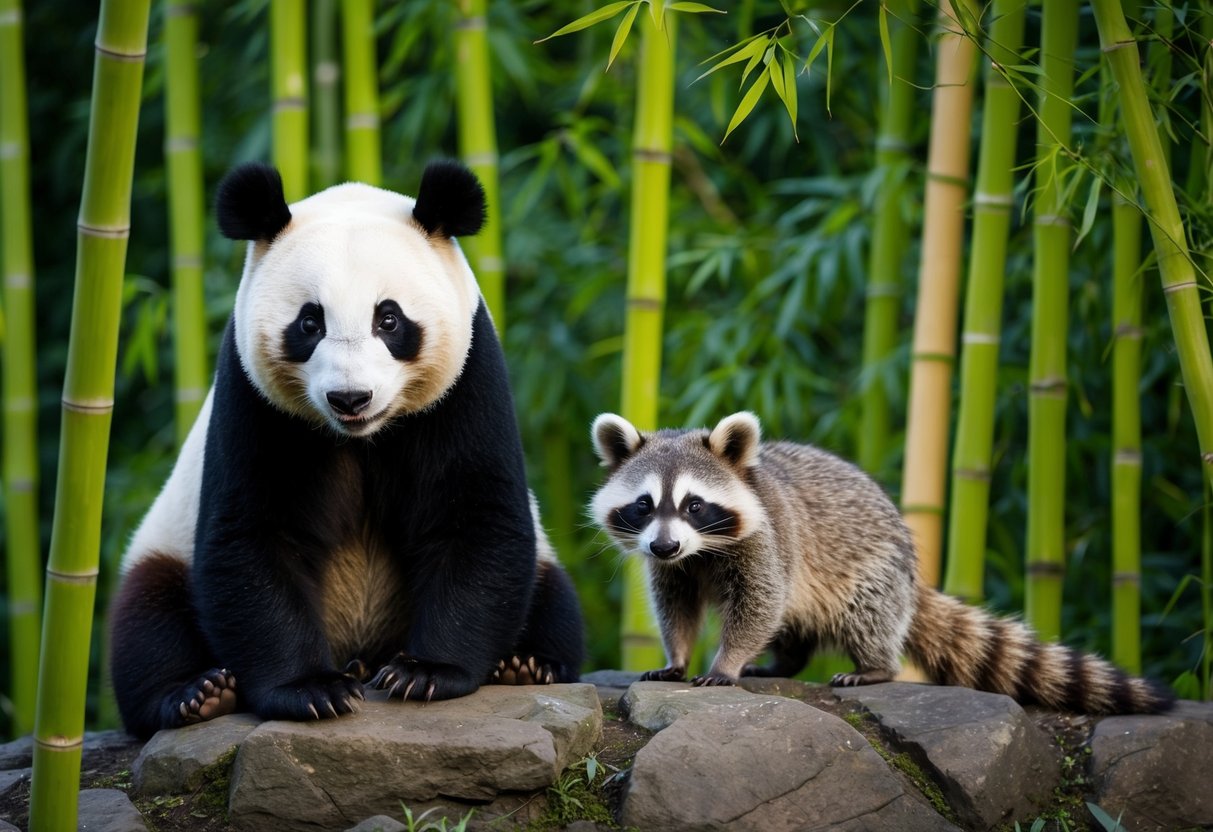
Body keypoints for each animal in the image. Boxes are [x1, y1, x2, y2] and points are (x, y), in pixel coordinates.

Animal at [109, 160, 584, 739]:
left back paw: (523, 666)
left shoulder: (468, 381)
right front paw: (311, 690)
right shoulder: (253, 399)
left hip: (544, 564)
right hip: (163, 547)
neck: (363, 437)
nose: (351, 397)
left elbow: (476, 515)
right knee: (147, 619)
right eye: (309, 322)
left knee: (555, 601)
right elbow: (251, 532)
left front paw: (426, 672)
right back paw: (198, 695)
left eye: (390, 319)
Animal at [590, 411, 1174, 715]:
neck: (700, 550)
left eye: (695, 504)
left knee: (862, 616)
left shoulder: (767, 541)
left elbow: (760, 603)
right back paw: (786, 662)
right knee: (796, 625)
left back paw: (873, 666)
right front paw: (679, 655)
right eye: (644, 505)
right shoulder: (673, 566)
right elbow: (677, 605)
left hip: (875, 569)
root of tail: (913, 574)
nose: (665, 546)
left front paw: (726, 662)